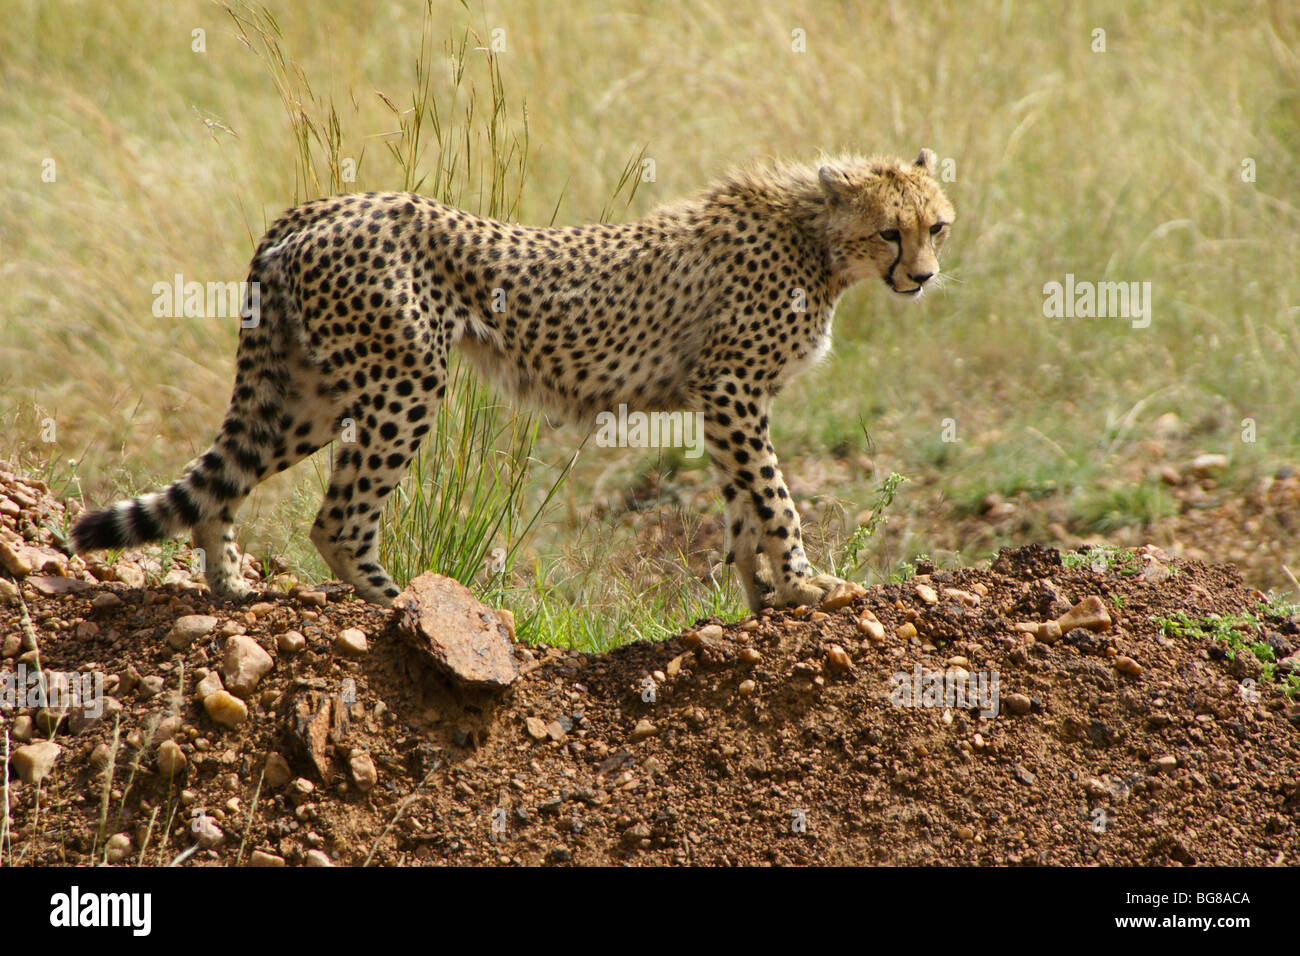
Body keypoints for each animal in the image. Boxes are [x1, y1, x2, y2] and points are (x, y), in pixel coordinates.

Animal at [71, 148, 955, 612]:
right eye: (891, 231)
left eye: (937, 226)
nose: (923, 278)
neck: (817, 238)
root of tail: (316, 207)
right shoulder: (734, 390)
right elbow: (775, 499)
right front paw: (809, 585)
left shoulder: (724, 400)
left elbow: (744, 507)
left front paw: (765, 602)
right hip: (403, 381)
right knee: (338, 519)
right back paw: (404, 606)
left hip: (312, 390)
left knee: (225, 480)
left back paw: (229, 589)